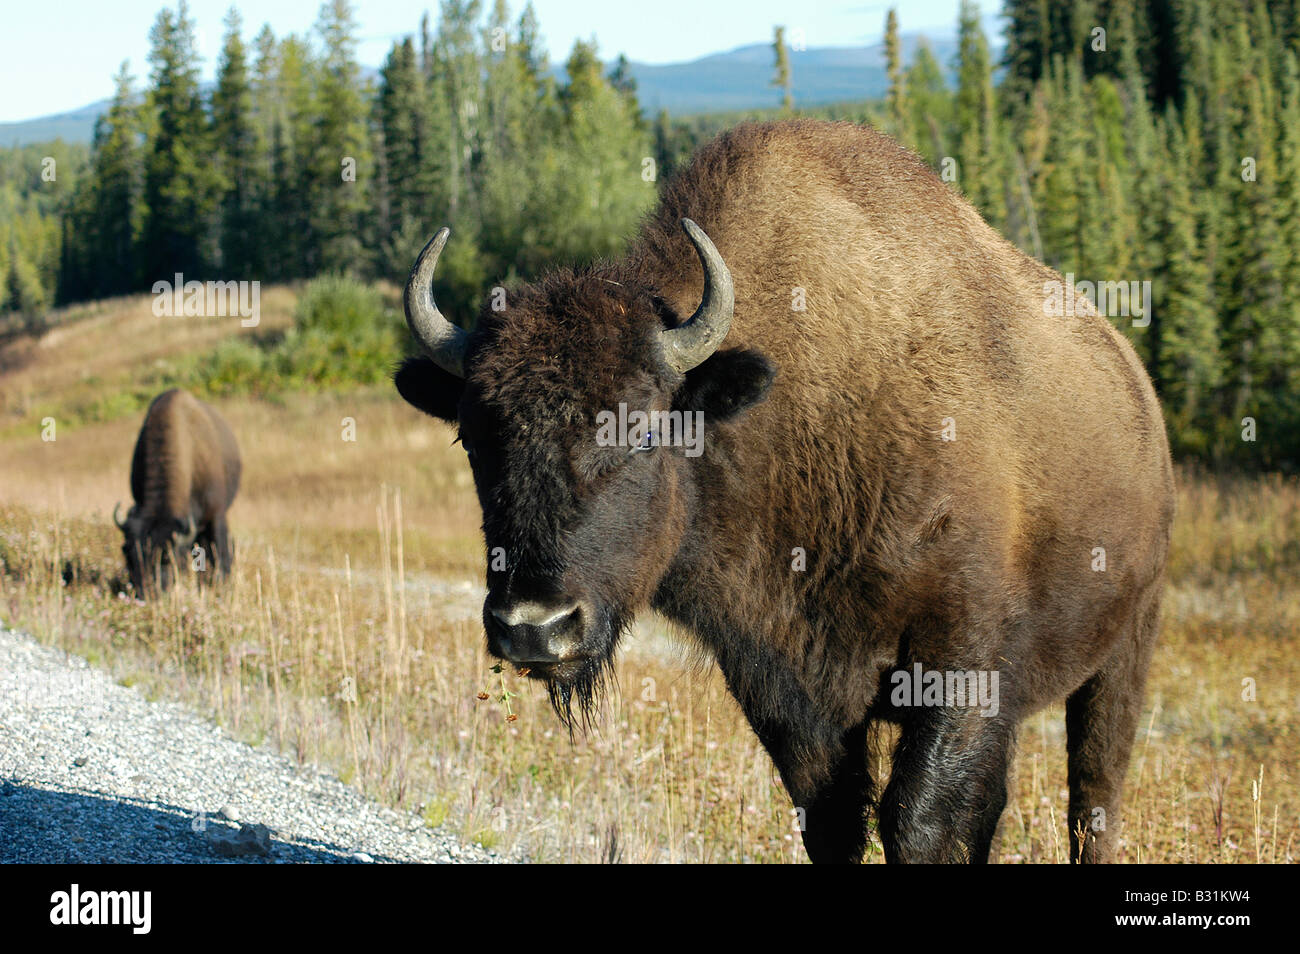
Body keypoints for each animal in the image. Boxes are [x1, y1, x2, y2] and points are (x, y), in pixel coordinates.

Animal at [394, 119, 1174, 864]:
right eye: (473, 438)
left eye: (641, 429)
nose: (533, 627)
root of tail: (1140, 394)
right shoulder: (781, 687)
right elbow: (832, 821)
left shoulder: (962, 664)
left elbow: (918, 820)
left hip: (1124, 653)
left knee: (1093, 801)